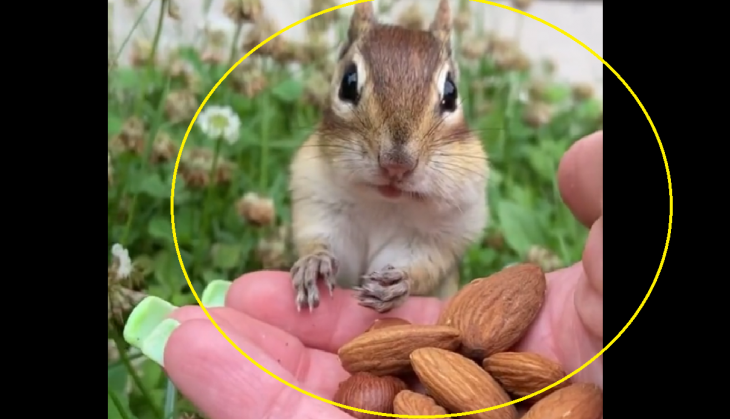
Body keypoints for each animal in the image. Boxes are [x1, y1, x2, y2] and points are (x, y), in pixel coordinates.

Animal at [288, 0, 490, 314]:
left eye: (451, 91)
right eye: (348, 82)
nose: (397, 165)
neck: (383, 202)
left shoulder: (439, 235)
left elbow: (423, 266)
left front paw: (399, 282)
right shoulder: (319, 203)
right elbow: (321, 241)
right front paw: (314, 263)